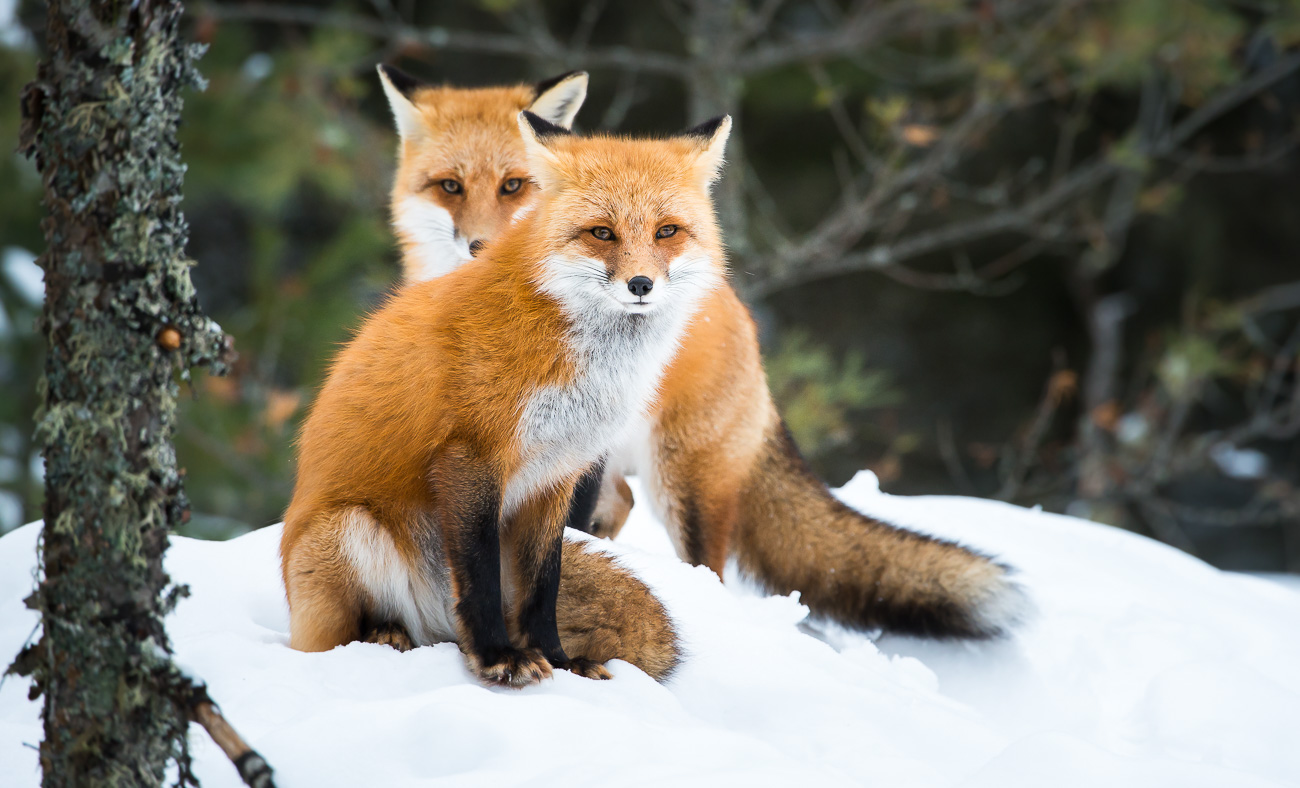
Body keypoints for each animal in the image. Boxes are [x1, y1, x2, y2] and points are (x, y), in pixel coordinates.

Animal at [281, 103, 731, 687]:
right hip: (350, 532)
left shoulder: (557, 473)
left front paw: (557, 660)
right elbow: (480, 580)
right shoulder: (471, 456)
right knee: (339, 640)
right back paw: (386, 635)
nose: (640, 285)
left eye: (667, 231)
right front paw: (498, 656)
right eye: (602, 233)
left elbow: (542, 585)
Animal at [379, 68, 1029, 641]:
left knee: (702, 564)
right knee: (622, 504)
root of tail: (741, 315)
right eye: (451, 187)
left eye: (513, 186)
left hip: (685, 483)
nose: (481, 247)